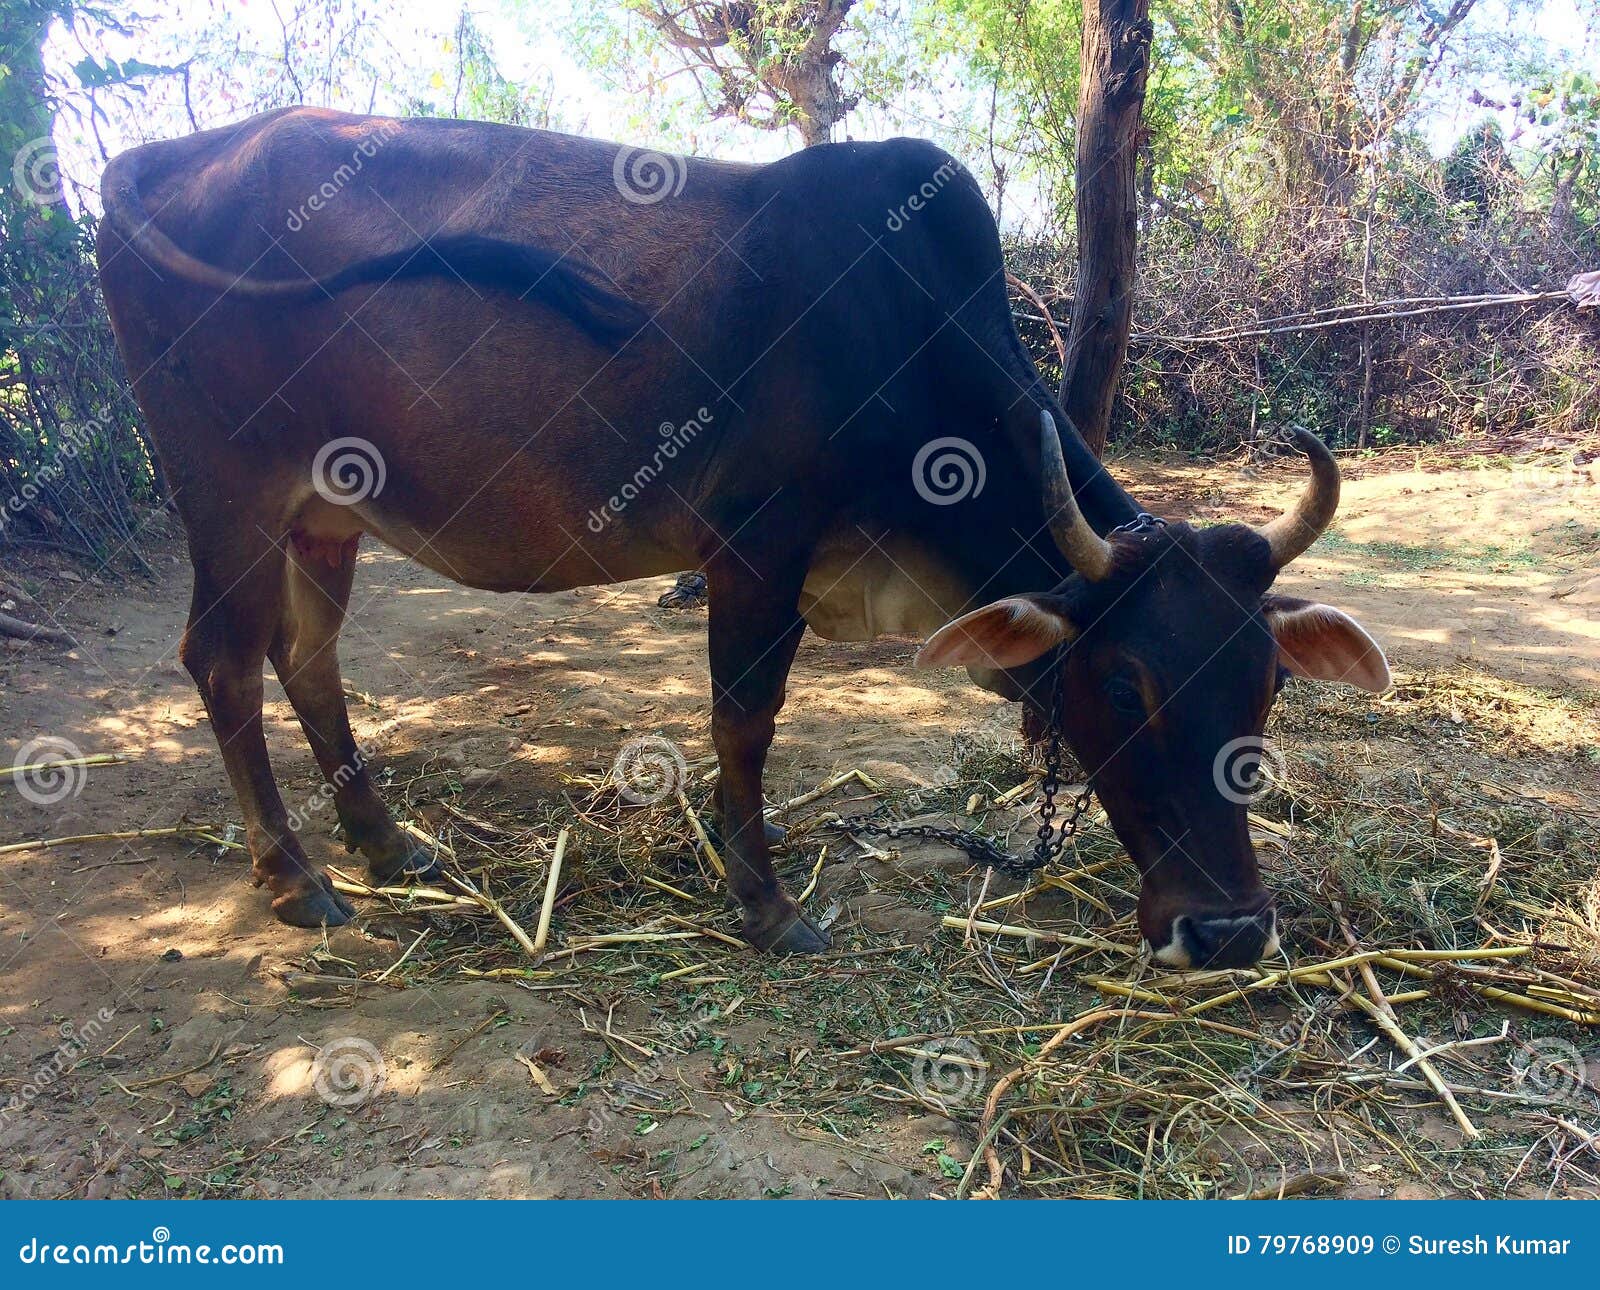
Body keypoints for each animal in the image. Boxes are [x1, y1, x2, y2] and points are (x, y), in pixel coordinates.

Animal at [96, 106, 1389, 968]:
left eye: (1268, 682)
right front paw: (765, 905)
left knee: (306, 661)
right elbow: (745, 723)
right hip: (229, 496)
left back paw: (384, 845)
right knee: (221, 662)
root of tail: (155, 160)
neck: (904, 330)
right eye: (1123, 686)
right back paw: (295, 879)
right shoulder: (755, 551)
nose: (1227, 929)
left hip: (327, 516)